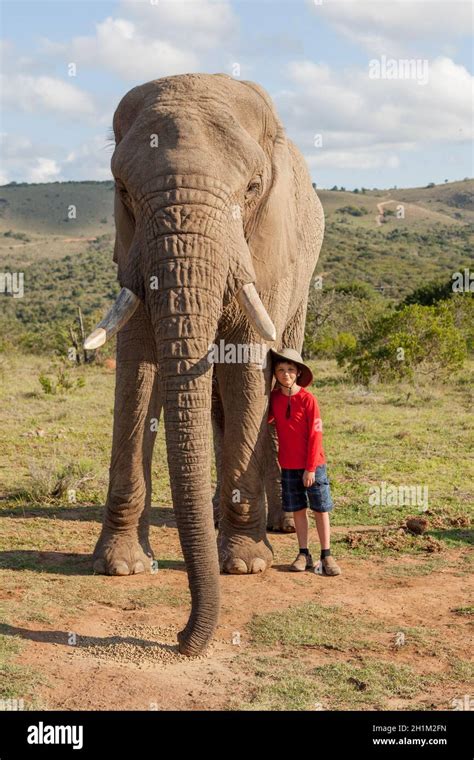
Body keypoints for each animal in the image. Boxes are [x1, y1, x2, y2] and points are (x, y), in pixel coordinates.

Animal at [84, 73, 324, 656]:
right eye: (122, 191)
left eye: (252, 189)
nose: (179, 637)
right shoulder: (132, 250)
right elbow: (137, 370)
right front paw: (120, 567)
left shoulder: (268, 250)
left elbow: (246, 369)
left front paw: (245, 564)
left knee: (273, 370)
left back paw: (276, 528)